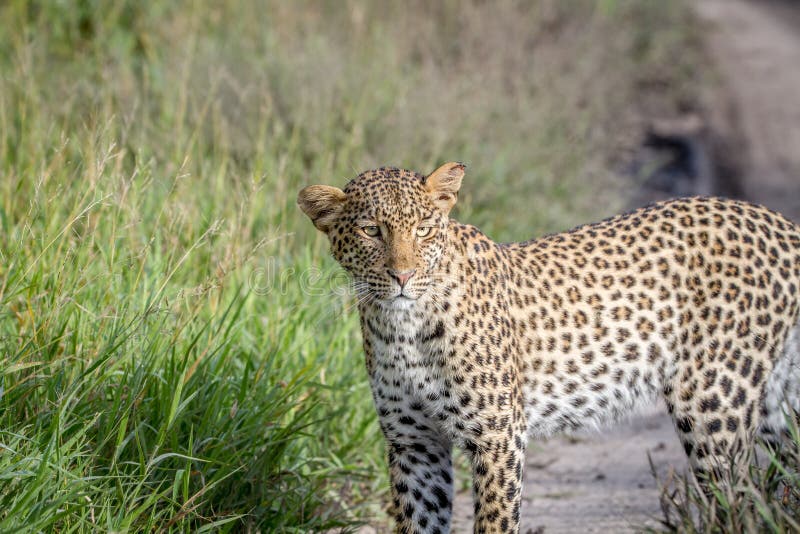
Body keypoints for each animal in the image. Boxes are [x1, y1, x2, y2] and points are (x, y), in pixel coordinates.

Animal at [297, 162, 800, 533]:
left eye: (423, 229)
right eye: (370, 231)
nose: (402, 276)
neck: (401, 328)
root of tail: (778, 221)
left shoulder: (497, 437)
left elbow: (495, 522)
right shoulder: (414, 444)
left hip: (714, 405)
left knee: (738, 502)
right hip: (776, 402)